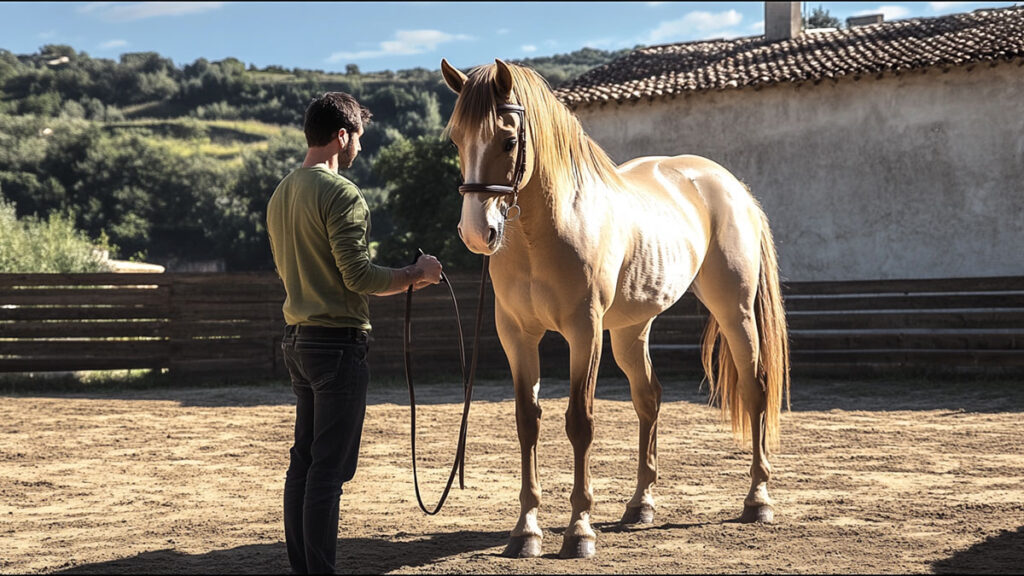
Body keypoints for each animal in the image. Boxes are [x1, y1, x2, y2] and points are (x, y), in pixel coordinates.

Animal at [439, 58, 791, 559]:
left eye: (508, 140)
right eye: (456, 139)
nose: (475, 232)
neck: (545, 230)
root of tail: (731, 187)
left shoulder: (584, 332)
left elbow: (580, 422)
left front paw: (579, 531)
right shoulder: (516, 336)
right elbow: (528, 422)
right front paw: (526, 531)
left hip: (735, 311)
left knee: (755, 388)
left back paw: (758, 500)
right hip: (630, 331)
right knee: (650, 398)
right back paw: (640, 506)